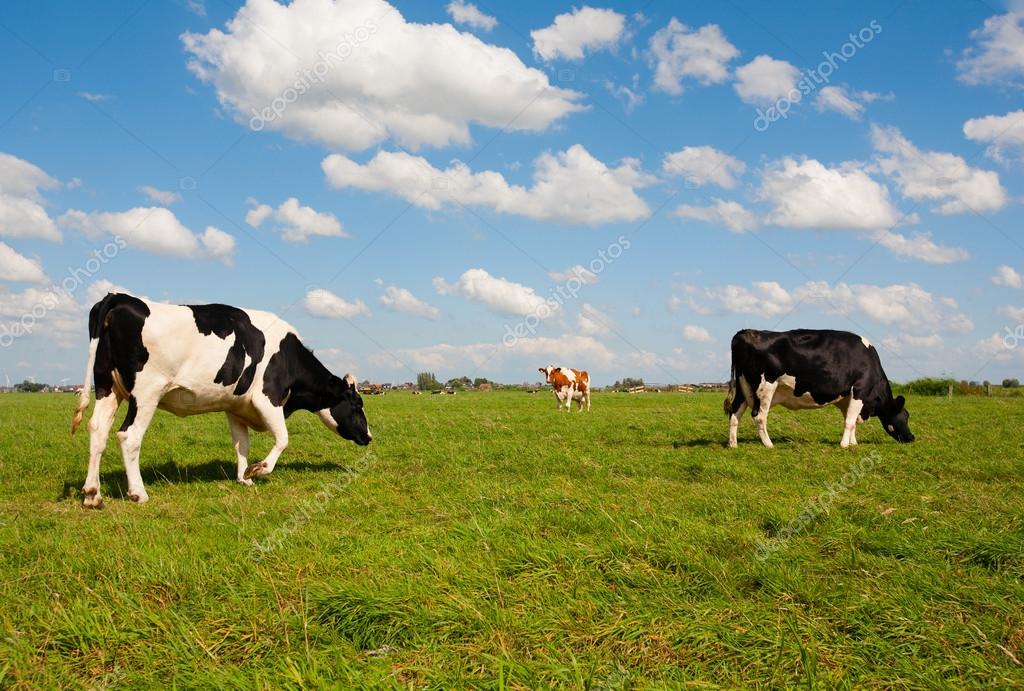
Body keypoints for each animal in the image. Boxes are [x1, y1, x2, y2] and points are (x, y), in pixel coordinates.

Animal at [71, 293, 371, 508]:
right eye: (358, 404)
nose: (369, 436)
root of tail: (120, 297)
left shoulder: (236, 408)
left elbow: (241, 445)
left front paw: (243, 478)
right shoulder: (268, 398)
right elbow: (283, 439)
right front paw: (258, 470)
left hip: (108, 387)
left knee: (98, 430)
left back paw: (92, 494)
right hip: (146, 393)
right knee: (129, 436)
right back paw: (138, 493)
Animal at [724, 329, 914, 448]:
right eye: (905, 416)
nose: (912, 438)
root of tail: (745, 332)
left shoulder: (848, 397)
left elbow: (851, 421)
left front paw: (853, 443)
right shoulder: (859, 390)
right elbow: (850, 421)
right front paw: (844, 445)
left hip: (742, 387)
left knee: (734, 413)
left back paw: (733, 444)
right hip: (765, 386)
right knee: (759, 417)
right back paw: (769, 444)